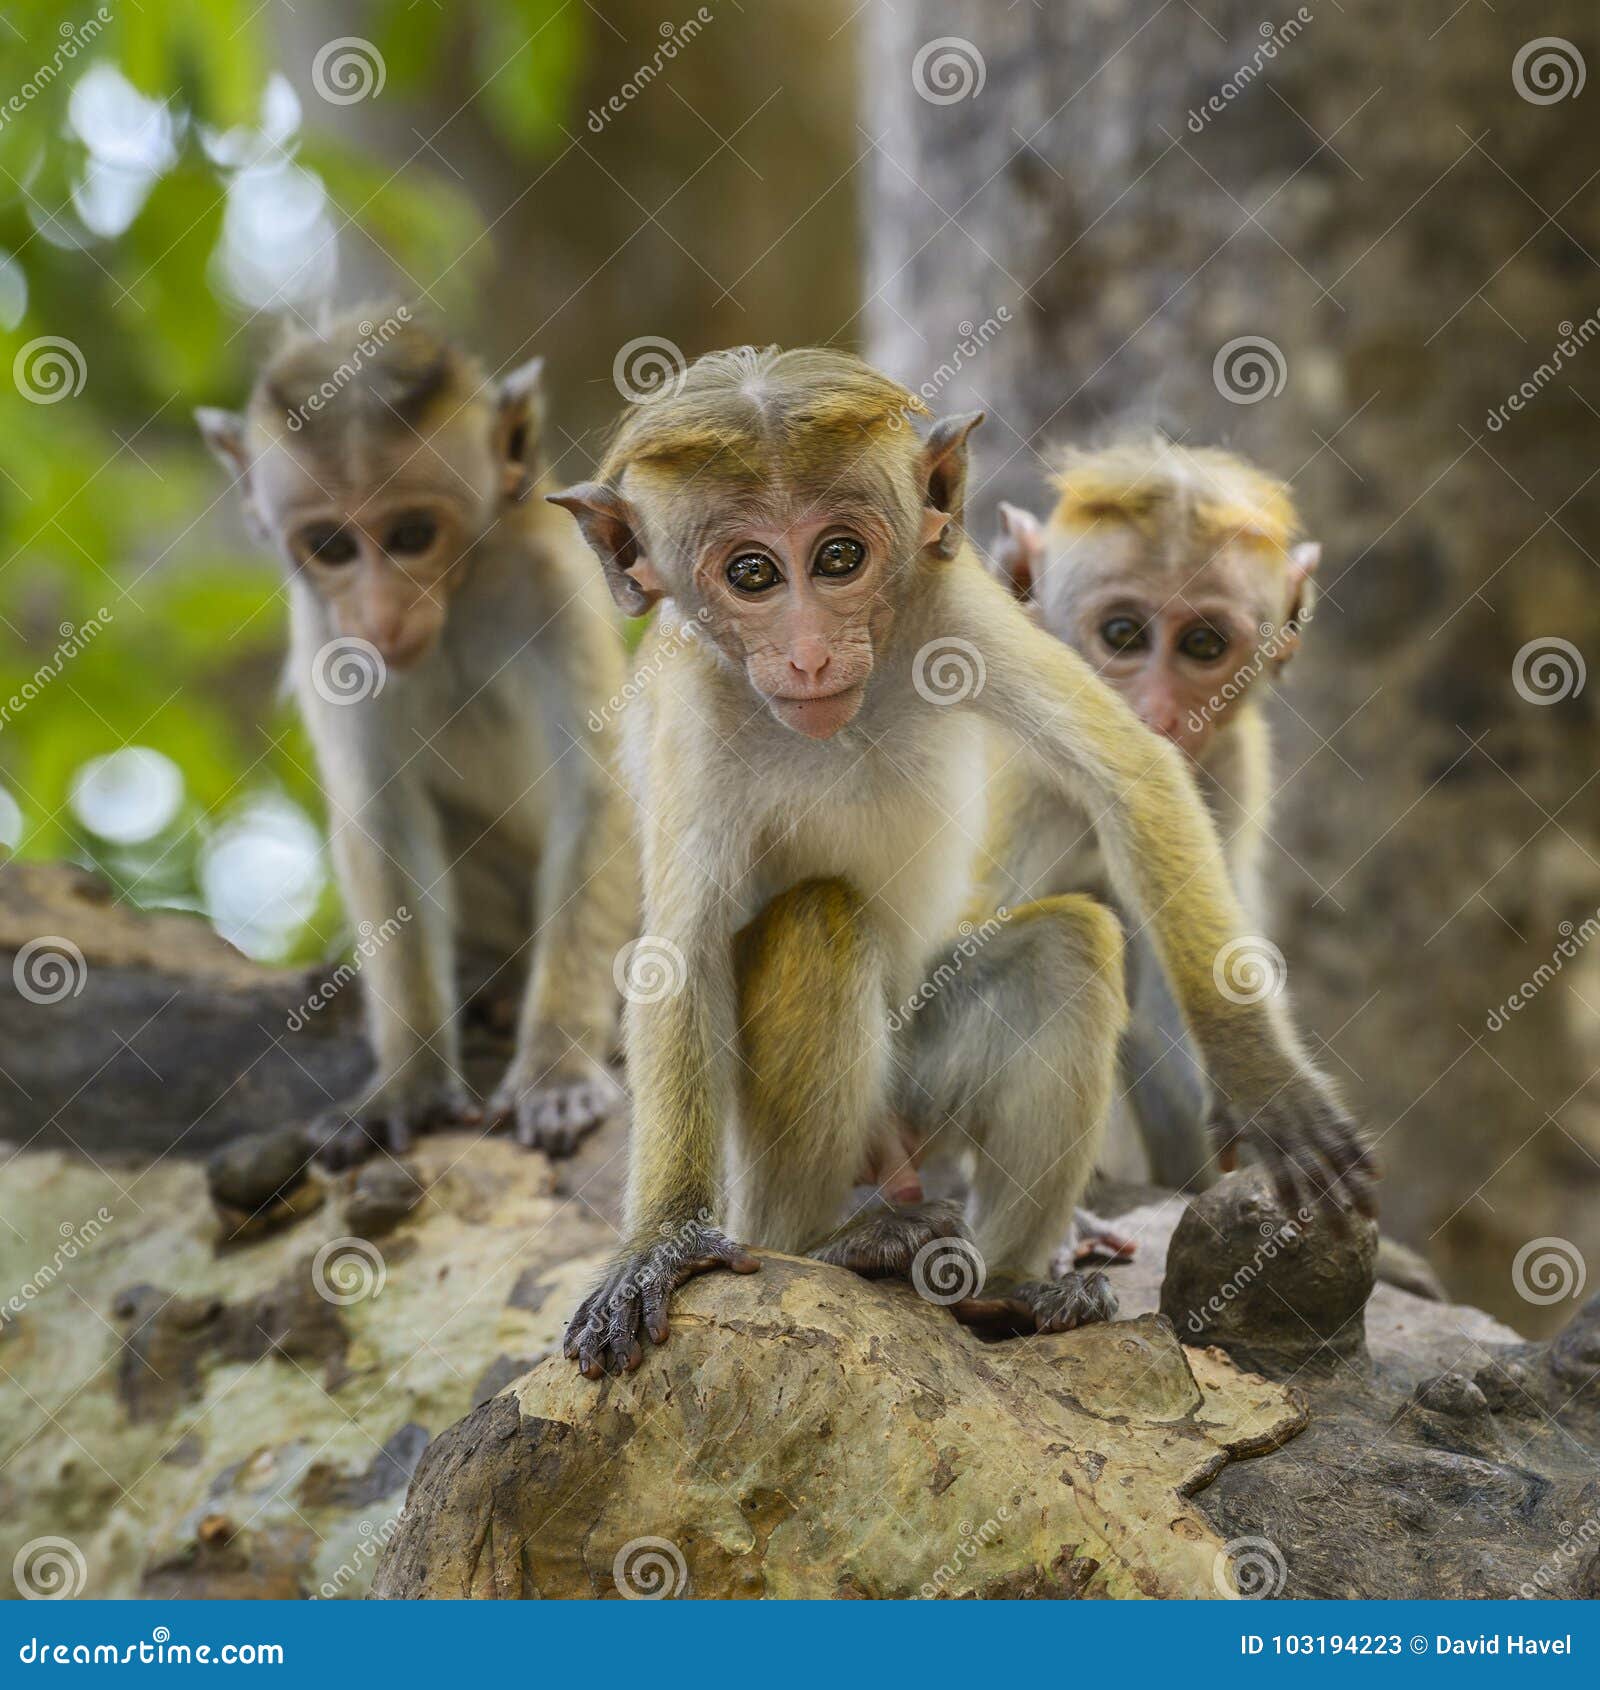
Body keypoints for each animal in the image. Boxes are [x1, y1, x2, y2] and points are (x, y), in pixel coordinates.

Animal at [197, 308, 637, 1164]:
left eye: (409, 534)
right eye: (332, 547)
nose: (380, 614)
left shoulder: (551, 581)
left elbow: (597, 790)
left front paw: (557, 1063)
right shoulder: (325, 637)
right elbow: (383, 820)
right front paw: (409, 1081)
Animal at [983, 439, 1319, 1213]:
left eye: (1203, 644)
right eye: (1123, 635)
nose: (1157, 715)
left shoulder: (1231, 758)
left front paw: (1247, 1072)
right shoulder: (1032, 774)